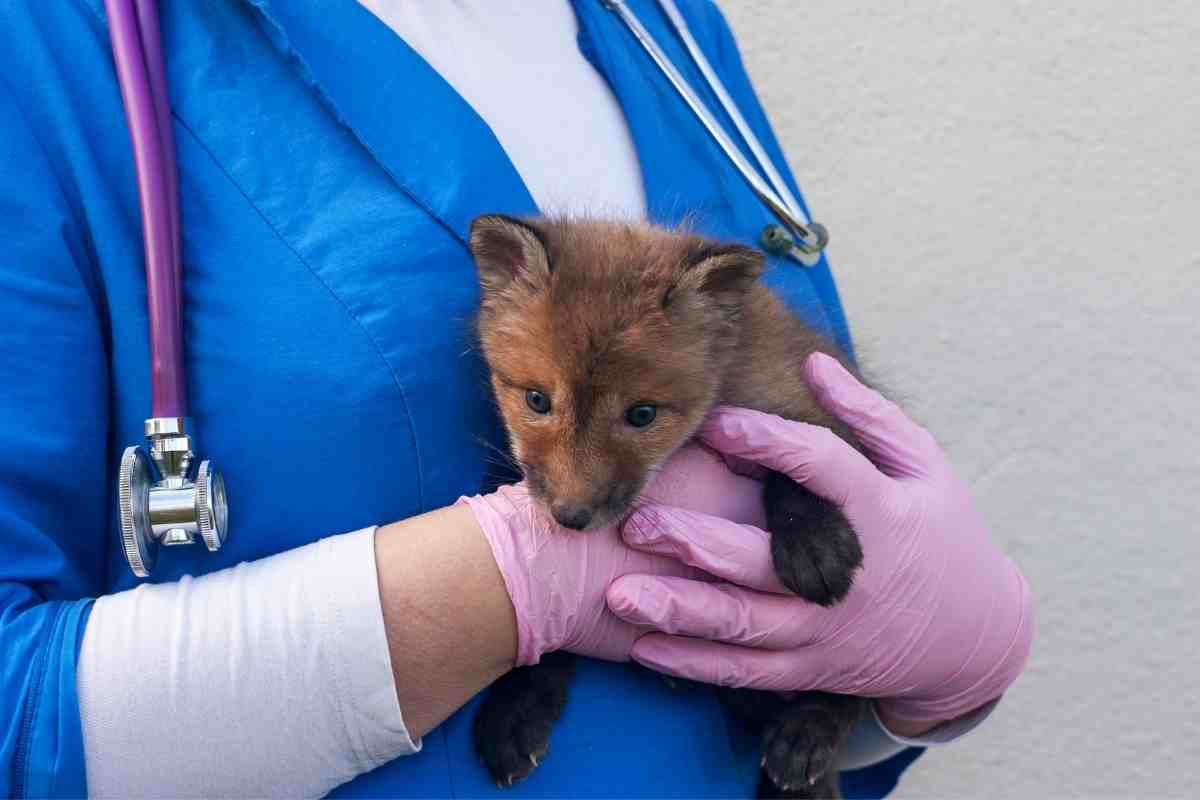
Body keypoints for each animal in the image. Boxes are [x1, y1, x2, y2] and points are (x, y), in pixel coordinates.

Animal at [468, 214, 870, 799]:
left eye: (642, 414)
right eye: (537, 400)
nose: (571, 516)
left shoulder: (809, 408)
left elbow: (802, 467)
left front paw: (816, 547)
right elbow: (546, 627)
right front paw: (518, 706)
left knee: (850, 689)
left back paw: (804, 736)